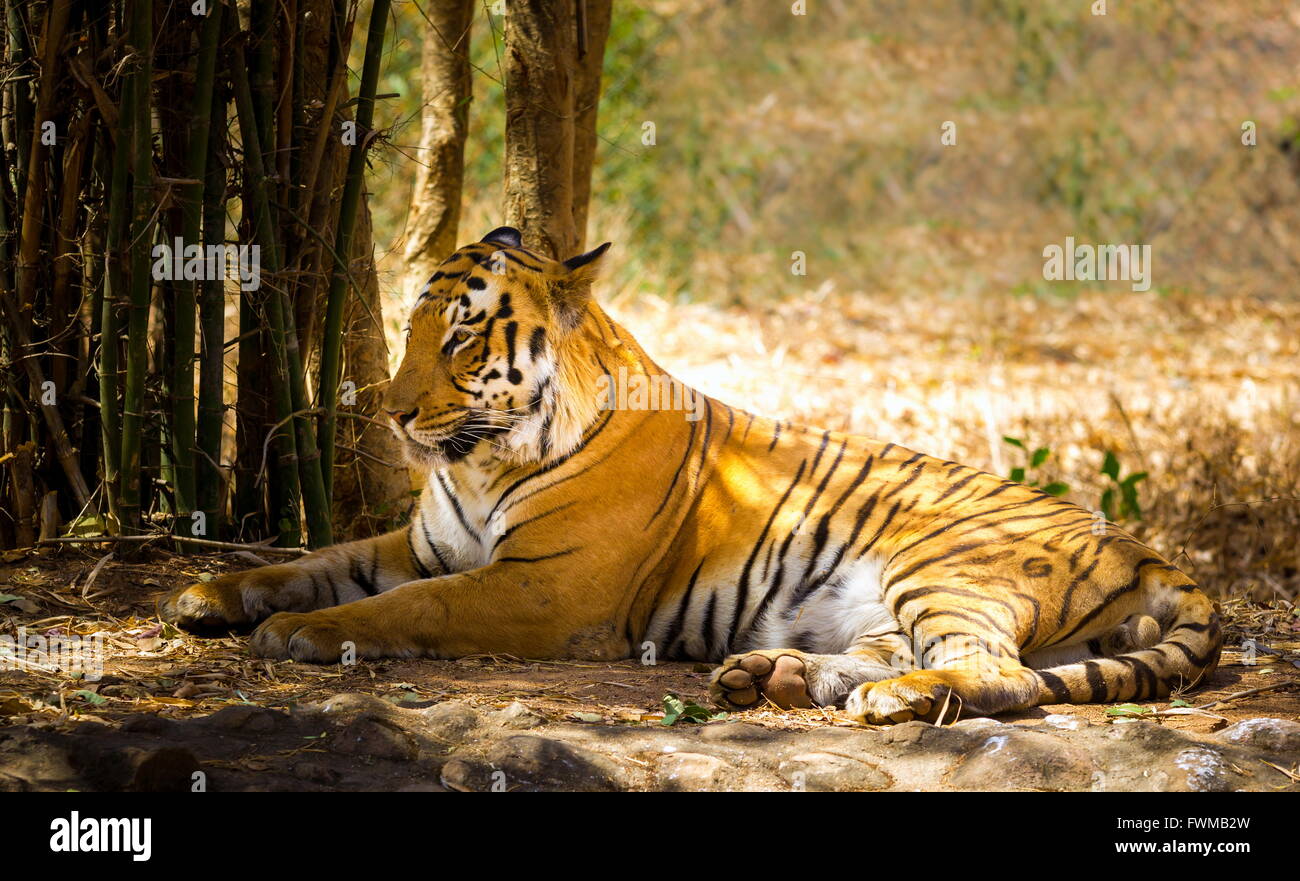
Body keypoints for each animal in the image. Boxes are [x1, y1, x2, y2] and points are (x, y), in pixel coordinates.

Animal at [159, 226, 1222, 725]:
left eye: (459, 336)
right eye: (413, 325)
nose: (390, 409)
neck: (481, 459)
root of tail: (1147, 546)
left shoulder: (542, 588)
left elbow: (401, 606)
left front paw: (301, 634)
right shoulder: (420, 542)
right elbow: (313, 560)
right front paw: (207, 593)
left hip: (942, 564)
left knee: (1002, 674)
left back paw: (876, 700)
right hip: (890, 603)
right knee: (911, 655)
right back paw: (772, 674)